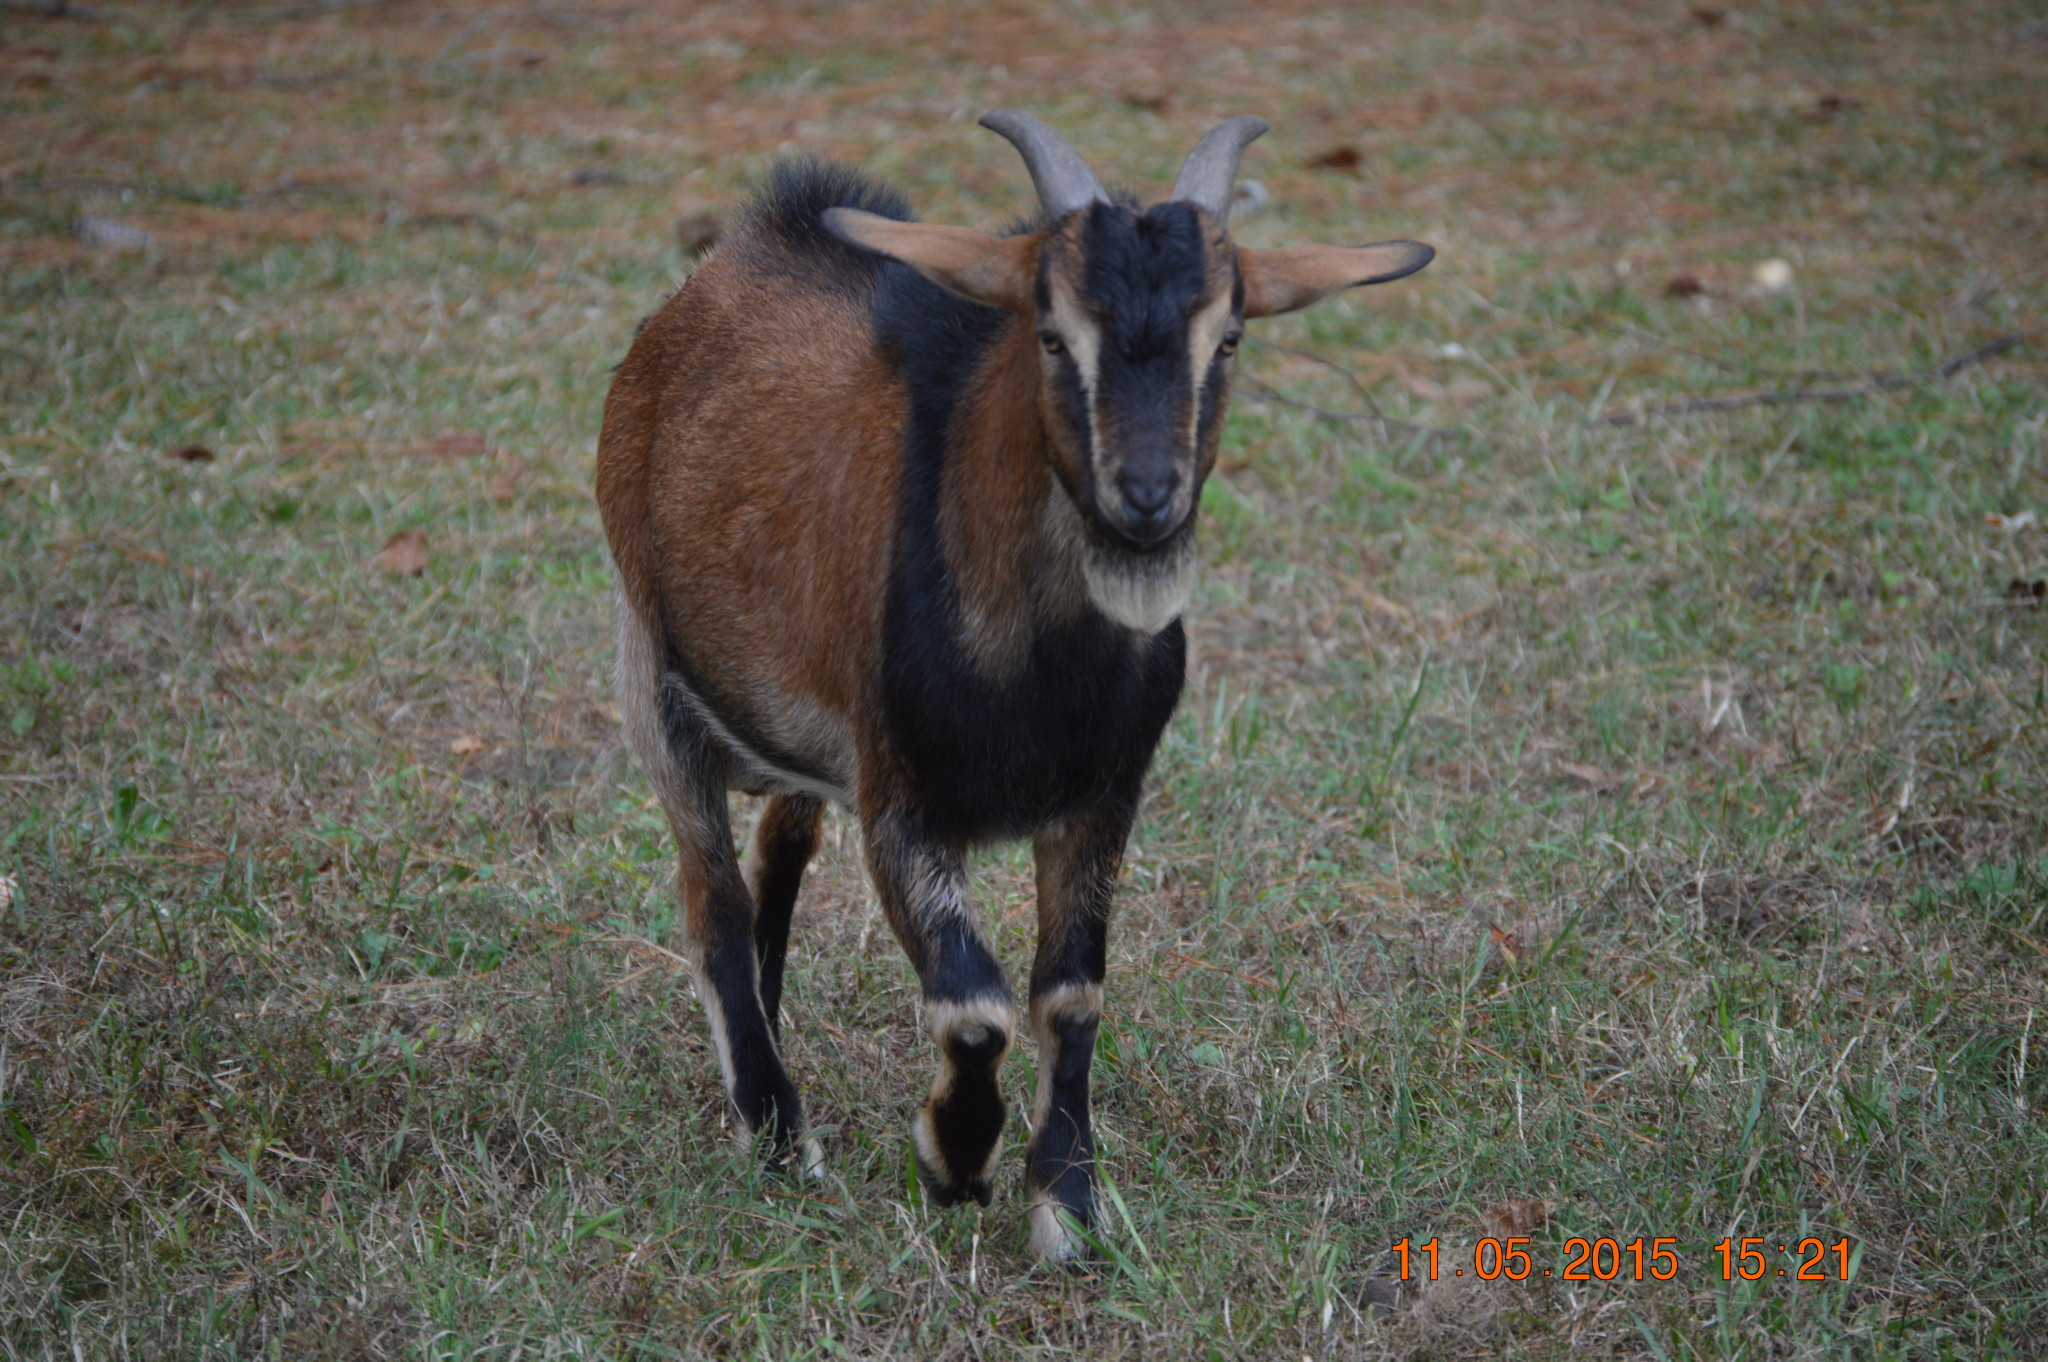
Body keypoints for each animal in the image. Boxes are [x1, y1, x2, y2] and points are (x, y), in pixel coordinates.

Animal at [594, 110, 1432, 1262]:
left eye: (1227, 339)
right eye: (1050, 335)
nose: (1146, 498)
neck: (1044, 681)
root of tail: (743, 254)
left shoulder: (1101, 799)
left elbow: (1069, 994)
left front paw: (1066, 1204)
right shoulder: (901, 803)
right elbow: (974, 1004)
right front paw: (954, 1159)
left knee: (778, 850)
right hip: (652, 675)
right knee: (711, 897)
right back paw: (775, 1131)